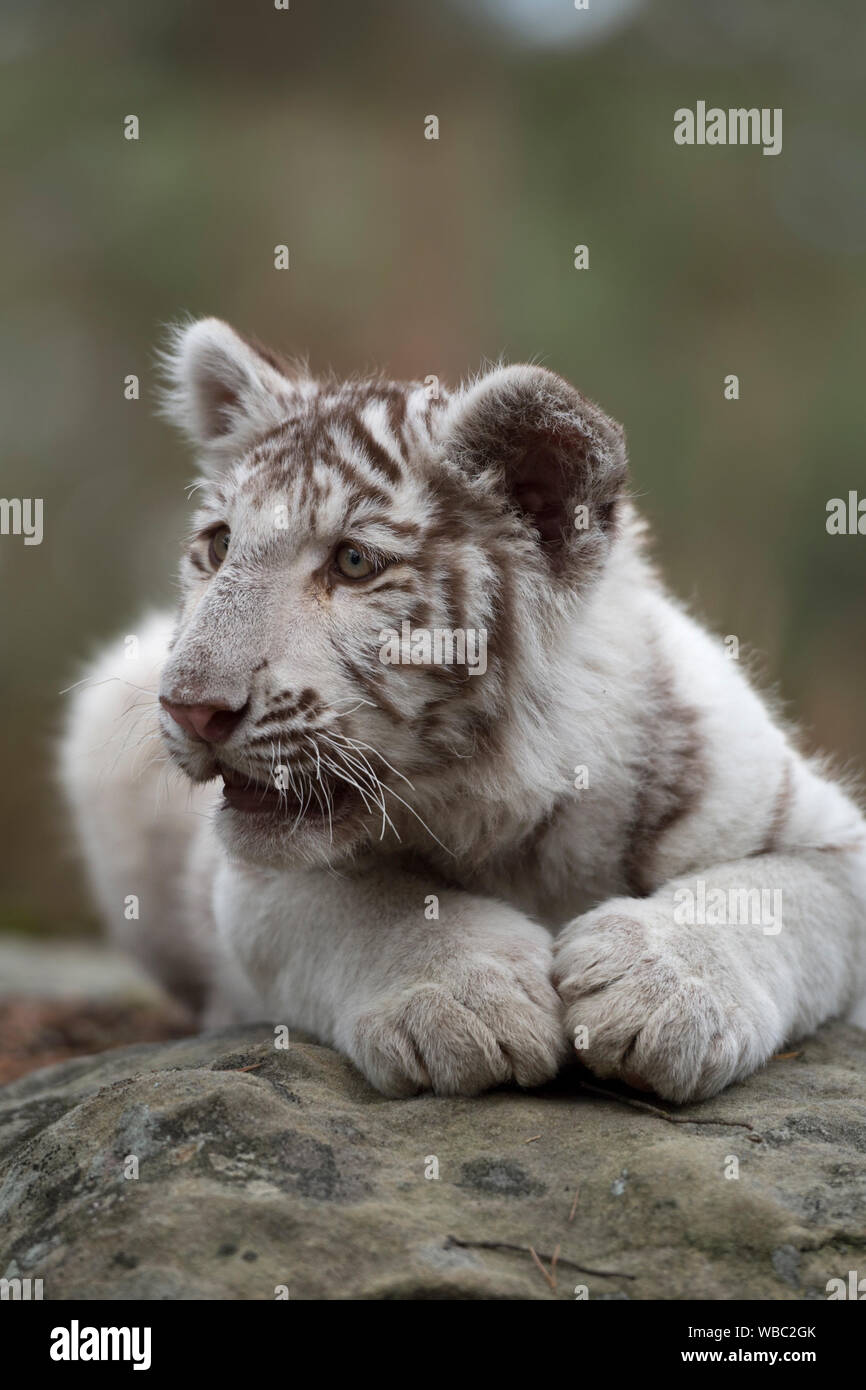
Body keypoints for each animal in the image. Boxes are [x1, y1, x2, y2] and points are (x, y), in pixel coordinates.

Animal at [61, 317, 866, 1100]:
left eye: (354, 562)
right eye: (219, 544)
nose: (190, 708)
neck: (518, 818)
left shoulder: (828, 837)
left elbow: (765, 896)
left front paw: (662, 991)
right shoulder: (256, 881)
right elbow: (362, 907)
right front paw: (465, 999)